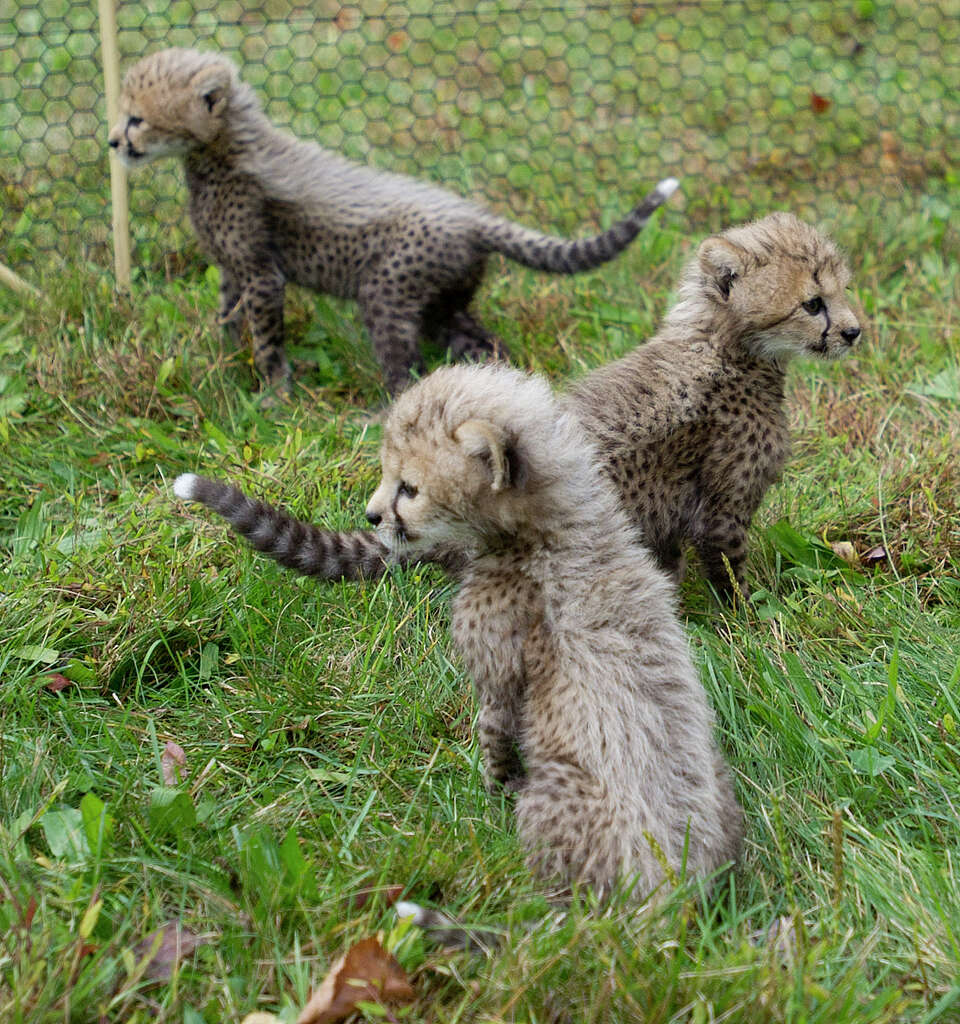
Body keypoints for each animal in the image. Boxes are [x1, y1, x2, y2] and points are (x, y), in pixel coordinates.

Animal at [108, 47, 677, 396]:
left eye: (137, 118)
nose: (113, 141)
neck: (221, 149)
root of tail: (470, 214)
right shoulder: (233, 268)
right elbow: (228, 317)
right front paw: (225, 365)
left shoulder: (262, 274)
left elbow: (268, 339)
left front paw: (274, 396)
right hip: (442, 299)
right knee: (480, 340)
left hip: (388, 291)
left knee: (405, 370)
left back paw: (378, 413)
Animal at [173, 361, 742, 897]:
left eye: (409, 488)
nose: (372, 515)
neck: (555, 531)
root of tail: (676, 892)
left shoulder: (499, 672)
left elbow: (493, 730)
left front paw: (493, 788)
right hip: (717, 777)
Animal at [199, 212, 860, 600]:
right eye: (812, 303)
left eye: (842, 290)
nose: (854, 331)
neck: (724, 346)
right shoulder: (721, 507)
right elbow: (727, 572)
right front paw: (748, 623)